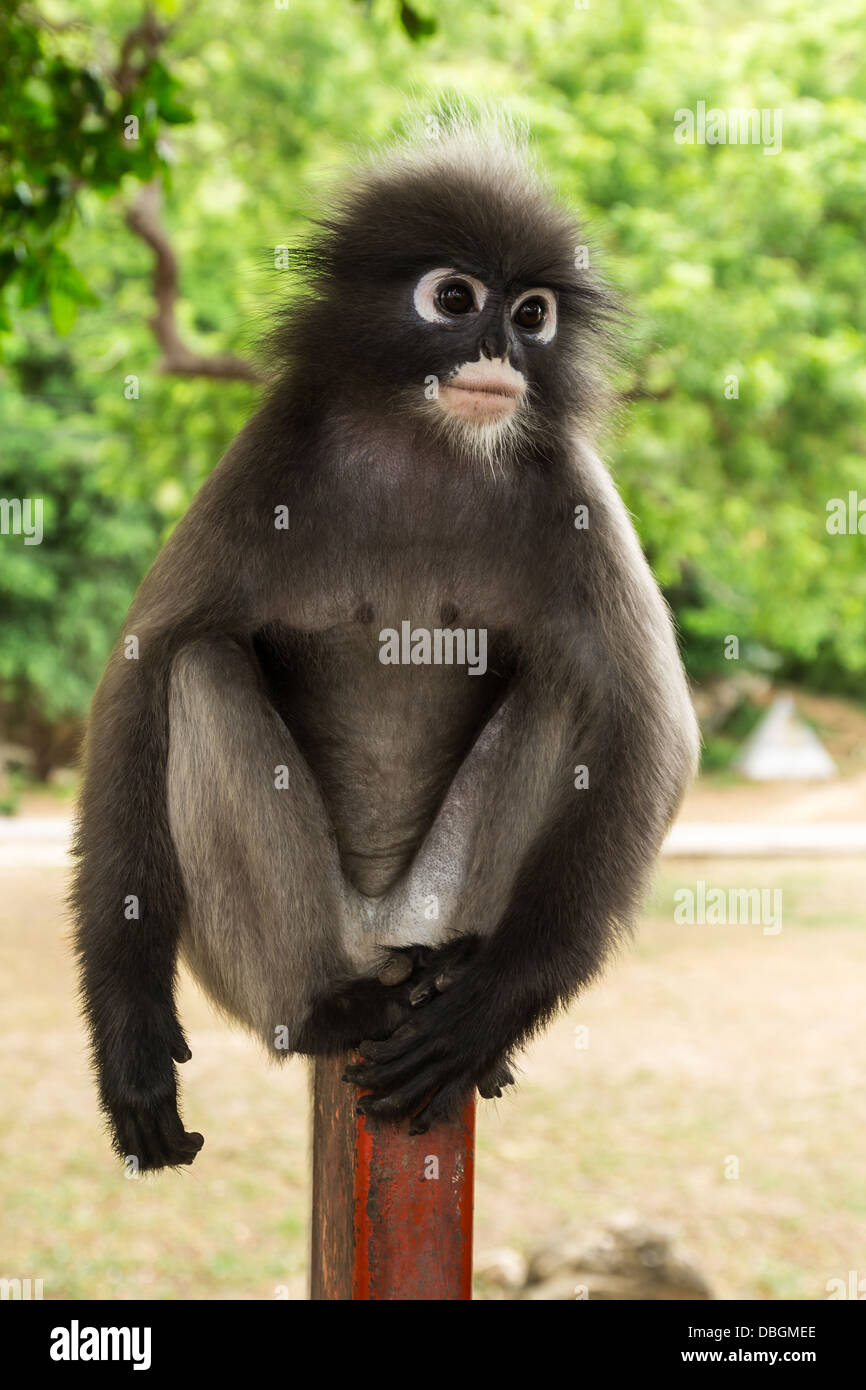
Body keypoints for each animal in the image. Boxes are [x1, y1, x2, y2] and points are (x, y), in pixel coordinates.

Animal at [72, 114, 699, 1171]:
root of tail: (381, 937)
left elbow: (650, 729)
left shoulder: (568, 482)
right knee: (198, 671)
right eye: (456, 299)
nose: (501, 349)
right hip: (269, 954)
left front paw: (487, 1013)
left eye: (534, 314)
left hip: (435, 899)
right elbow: (140, 680)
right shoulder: (269, 454)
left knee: (572, 684)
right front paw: (132, 1045)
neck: (423, 447)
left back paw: (456, 988)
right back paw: (327, 1006)